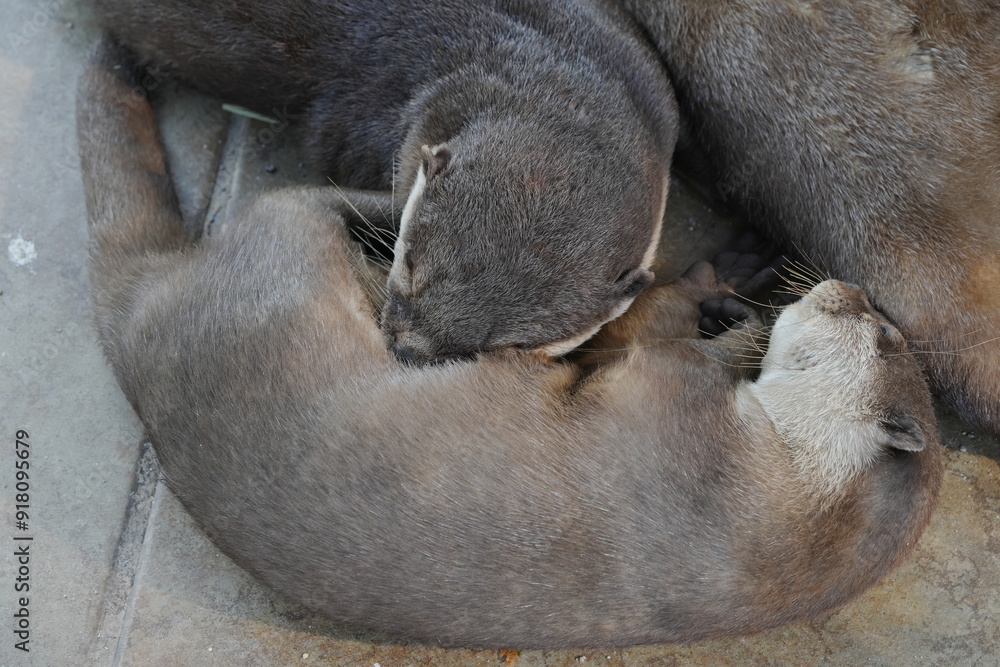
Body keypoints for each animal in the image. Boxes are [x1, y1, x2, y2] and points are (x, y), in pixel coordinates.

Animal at [78, 39, 941, 649]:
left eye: (883, 330)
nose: (853, 286)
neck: (779, 512)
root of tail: (139, 314)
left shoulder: (675, 390)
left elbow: (642, 327)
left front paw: (706, 288)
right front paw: (731, 281)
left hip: (282, 265)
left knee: (303, 204)